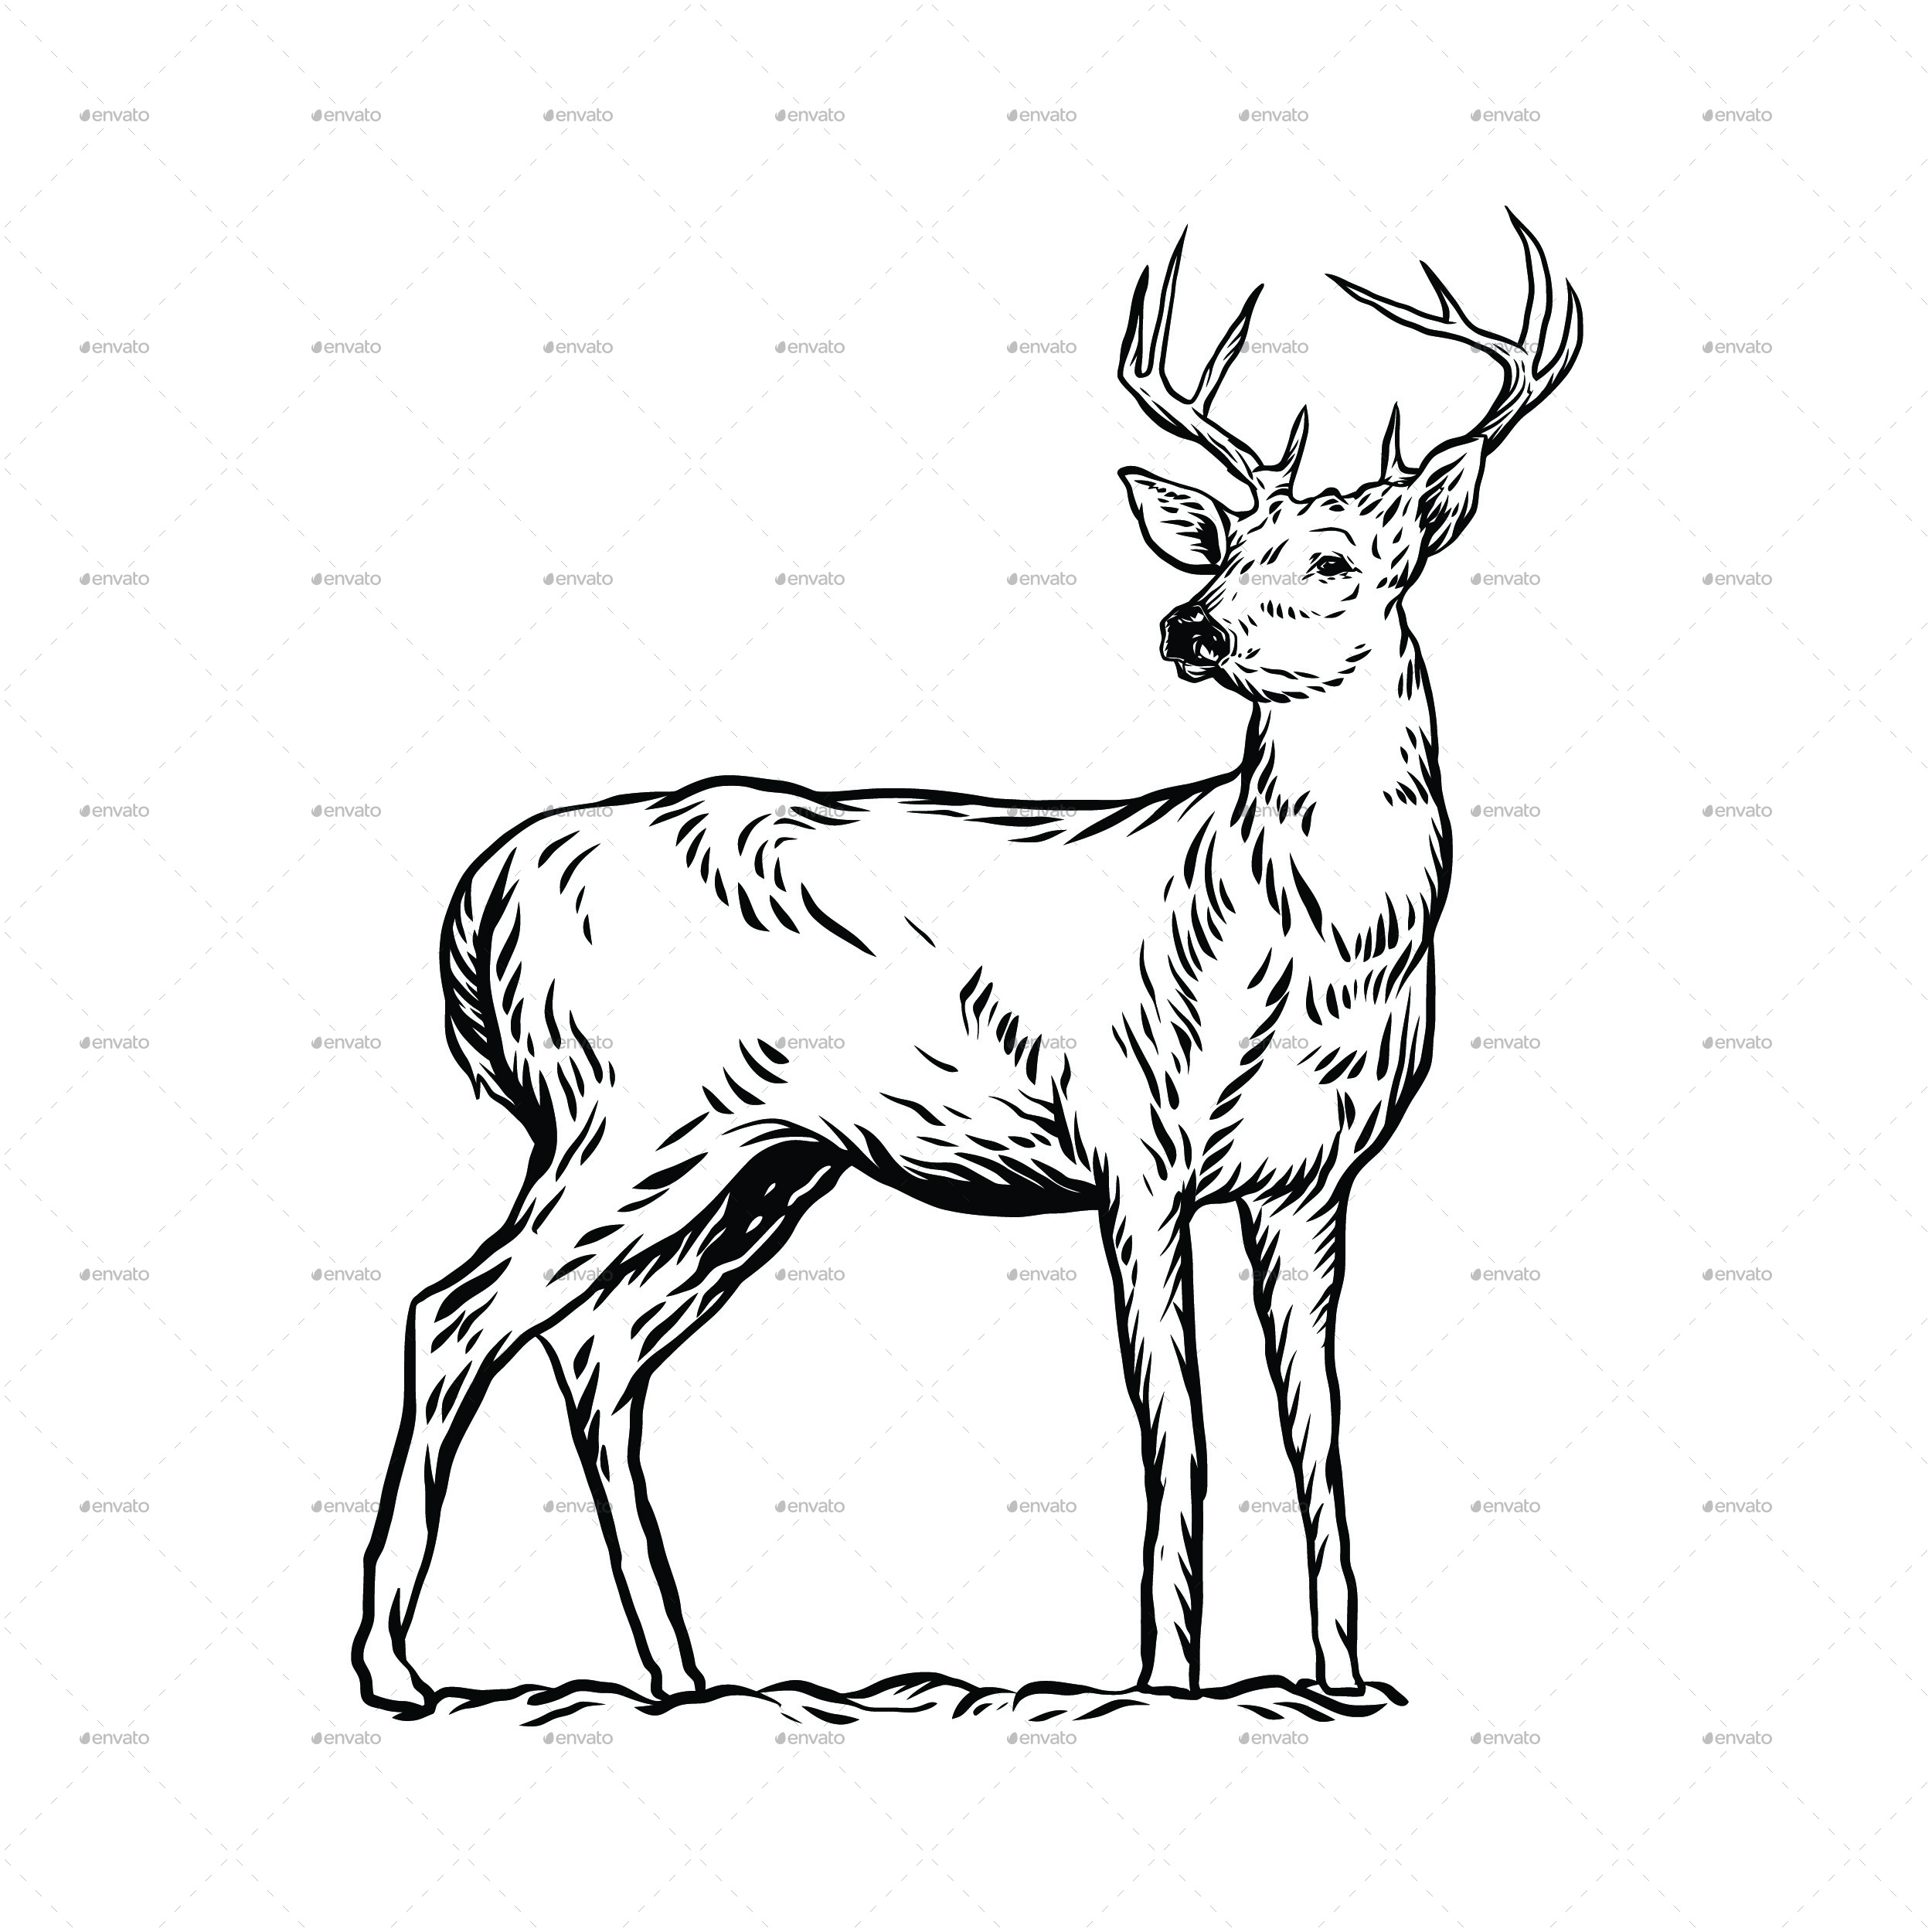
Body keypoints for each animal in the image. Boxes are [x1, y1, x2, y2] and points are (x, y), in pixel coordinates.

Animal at [354, 213, 1582, 1715]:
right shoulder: (1132, 1139)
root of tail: (486, 894)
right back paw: (396, 1667)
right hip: (621, 1113)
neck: (1294, 936)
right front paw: (1164, 1682)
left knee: (598, 1354)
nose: (1193, 627)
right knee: (453, 1315)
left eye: (1340, 561)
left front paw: (1344, 1679)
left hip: (754, 1167)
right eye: (1229, 544)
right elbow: (1179, 1433)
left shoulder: (1312, 1179)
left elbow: (1320, 1437)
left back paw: (686, 1679)